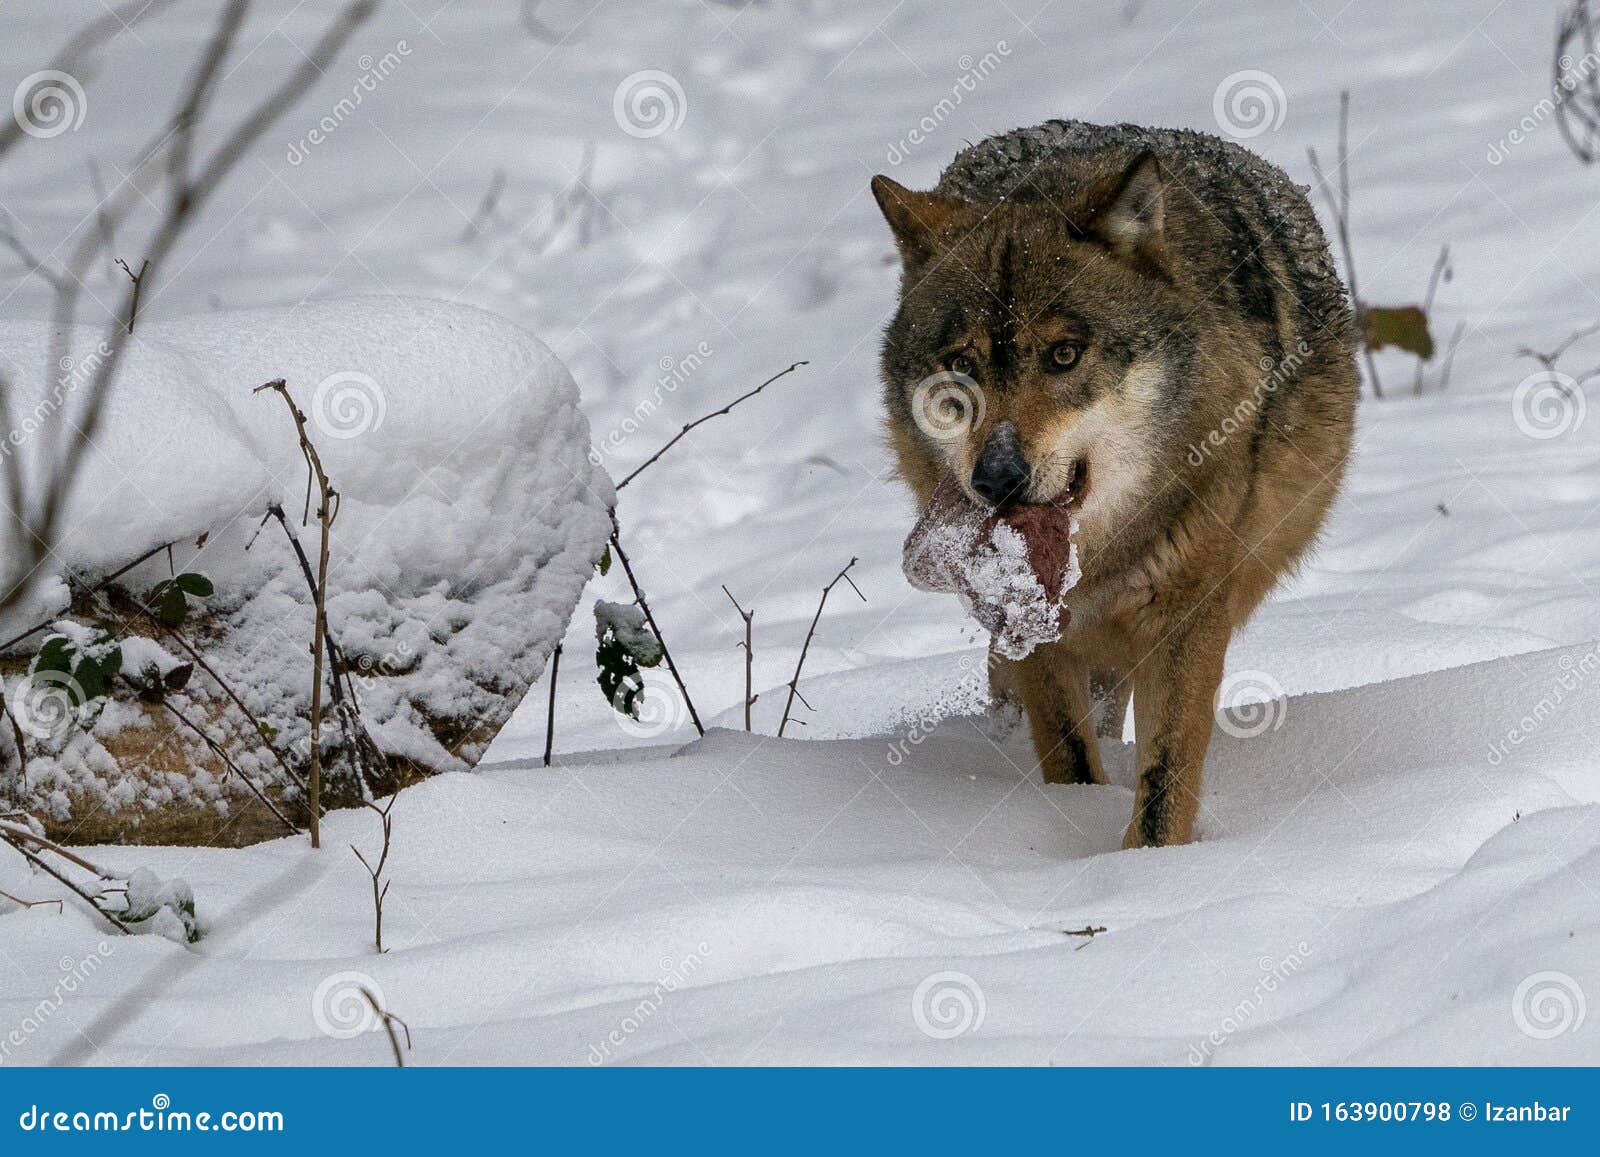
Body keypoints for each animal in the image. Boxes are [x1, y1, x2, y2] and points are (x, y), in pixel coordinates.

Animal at [872, 120, 1358, 848]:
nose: (997, 478)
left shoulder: (1188, 616)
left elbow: (1165, 779)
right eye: (962, 365)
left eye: (1064, 355)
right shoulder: (1037, 626)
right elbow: (1068, 753)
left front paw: (1146, 866)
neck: (1095, 552)